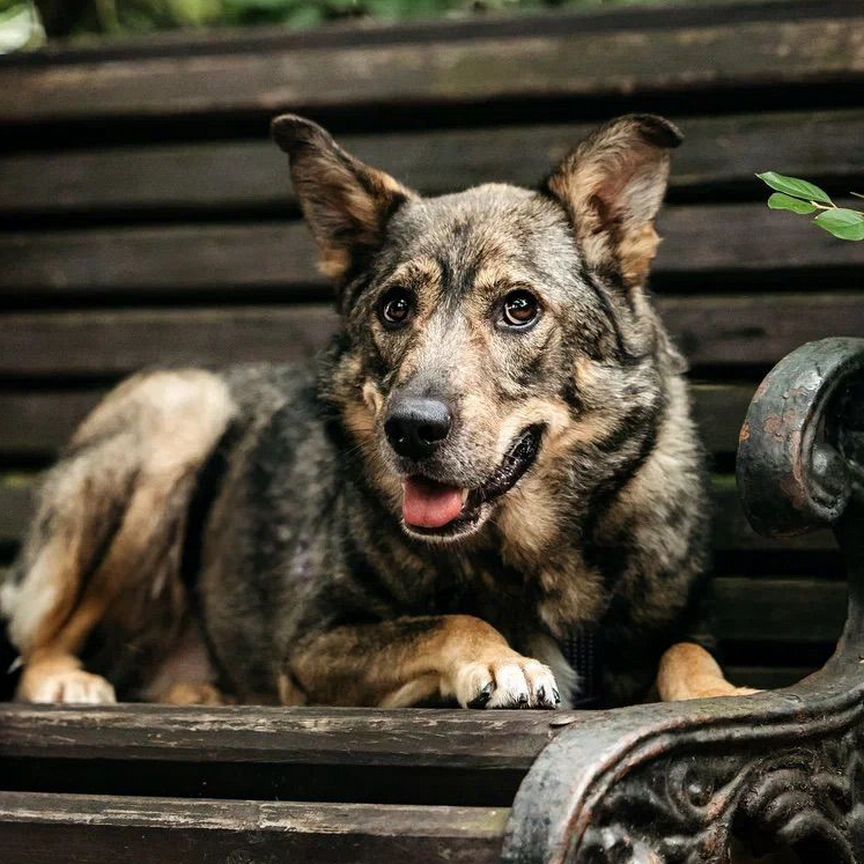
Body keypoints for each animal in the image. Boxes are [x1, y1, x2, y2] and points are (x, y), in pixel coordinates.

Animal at [1, 113, 756, 708]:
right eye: (395, 307)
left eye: (519, 308)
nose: (411, 430)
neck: (534, 556)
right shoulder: (313, 647)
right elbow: (446, 623)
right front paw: (502, 659)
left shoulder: (674, 624)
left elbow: (686, 653)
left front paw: (720, 694)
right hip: (181, 409)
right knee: (37, 640)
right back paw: (65, 679)